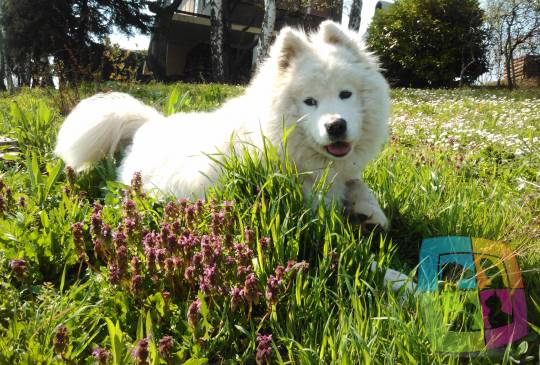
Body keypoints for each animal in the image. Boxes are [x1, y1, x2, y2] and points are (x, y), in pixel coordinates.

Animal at [54, 20, 390, 228]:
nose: (336, 126)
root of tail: (150, 123)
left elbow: (358, 183)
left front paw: (371, 212)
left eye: (345, 94)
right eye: (310, 101)